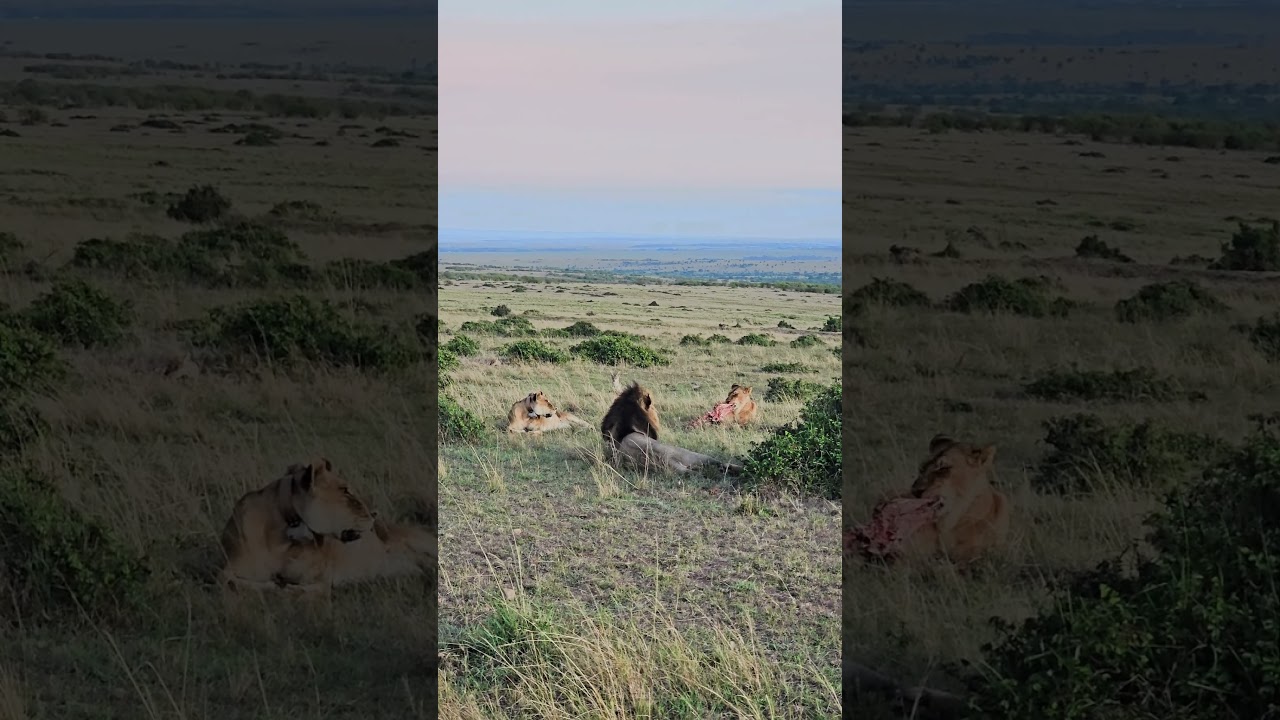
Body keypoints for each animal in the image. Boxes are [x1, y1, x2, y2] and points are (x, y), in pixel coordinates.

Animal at [219, 458, 433, 593]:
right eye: (345, 491)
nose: (374, 514)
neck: (281, 536)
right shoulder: (230, 567)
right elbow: (229, 581)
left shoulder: (321, 577)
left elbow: (310, 588)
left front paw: (286, 587)